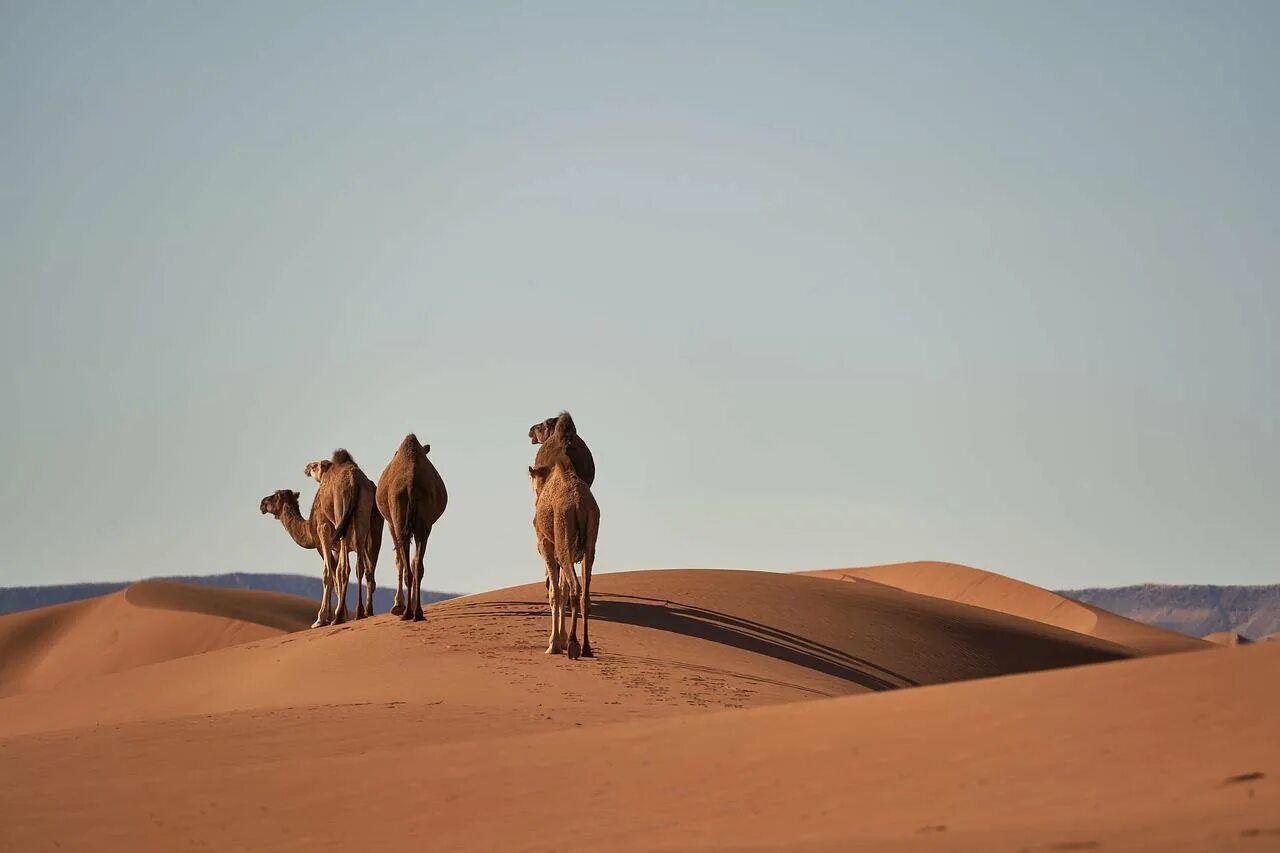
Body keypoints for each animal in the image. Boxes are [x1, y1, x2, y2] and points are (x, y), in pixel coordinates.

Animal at [303, 450, 385, 618]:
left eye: (315, 466)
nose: (306, 468)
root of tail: (355, 482)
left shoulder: (325, 525)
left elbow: (331, 570)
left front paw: (322, 618)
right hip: (363, 514)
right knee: (361, 566)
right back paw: (361, 611)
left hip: (341, 511)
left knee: (344, 568)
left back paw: (340, 615)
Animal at [376, 434, 448, 621]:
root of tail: (411, 484)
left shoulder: (391, 524)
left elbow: (399, 561)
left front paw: (397, 606)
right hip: (423, 524)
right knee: (417, 566)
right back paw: (417, 612)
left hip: (399, 520)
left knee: (408, 565)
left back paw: (407, 612)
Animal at [529, 419, 600, 660]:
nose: (531, 431)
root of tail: (578, 505)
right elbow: (562, 590)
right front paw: (558, 640)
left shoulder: (546, 544)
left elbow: (555, 593)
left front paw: (553, 644)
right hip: (590, 540)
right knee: (584, 592)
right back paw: (586, 647)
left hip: (562, 540)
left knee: (575, 588)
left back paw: (573, 644)